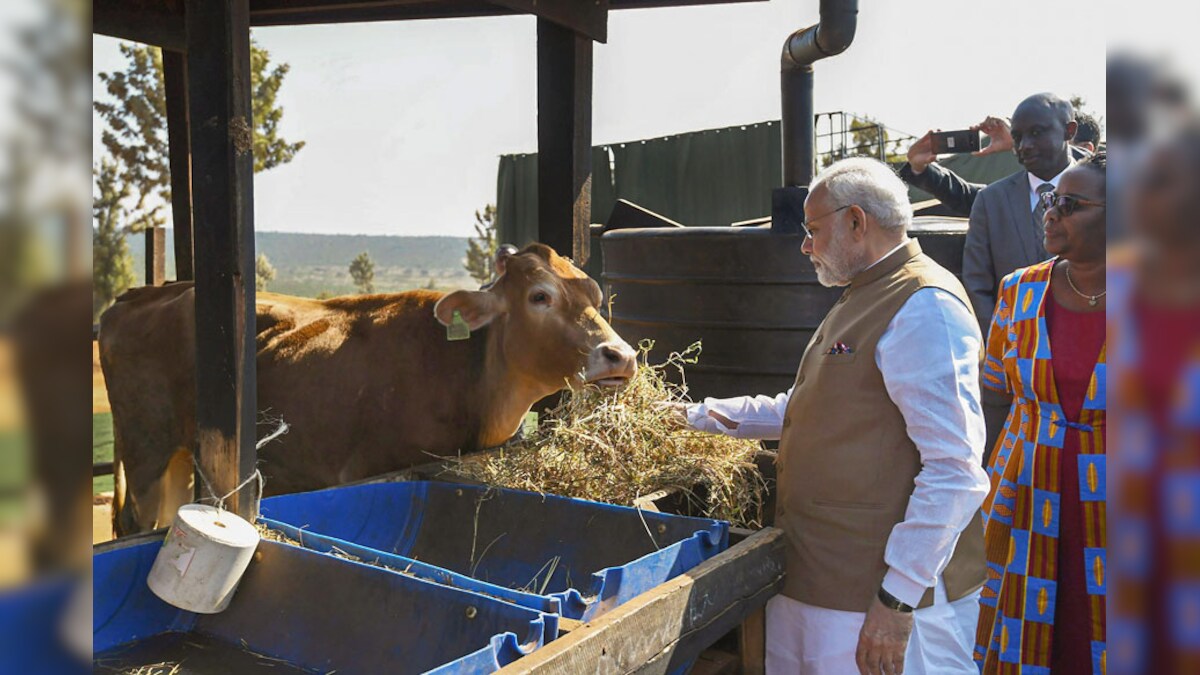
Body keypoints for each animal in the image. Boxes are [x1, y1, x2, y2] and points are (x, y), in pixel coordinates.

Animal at [99, 244, 636, 536]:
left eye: (594, 294)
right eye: (540, 296)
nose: (622, 356)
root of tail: (142, 293)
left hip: (175, 454)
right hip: (146, 448)